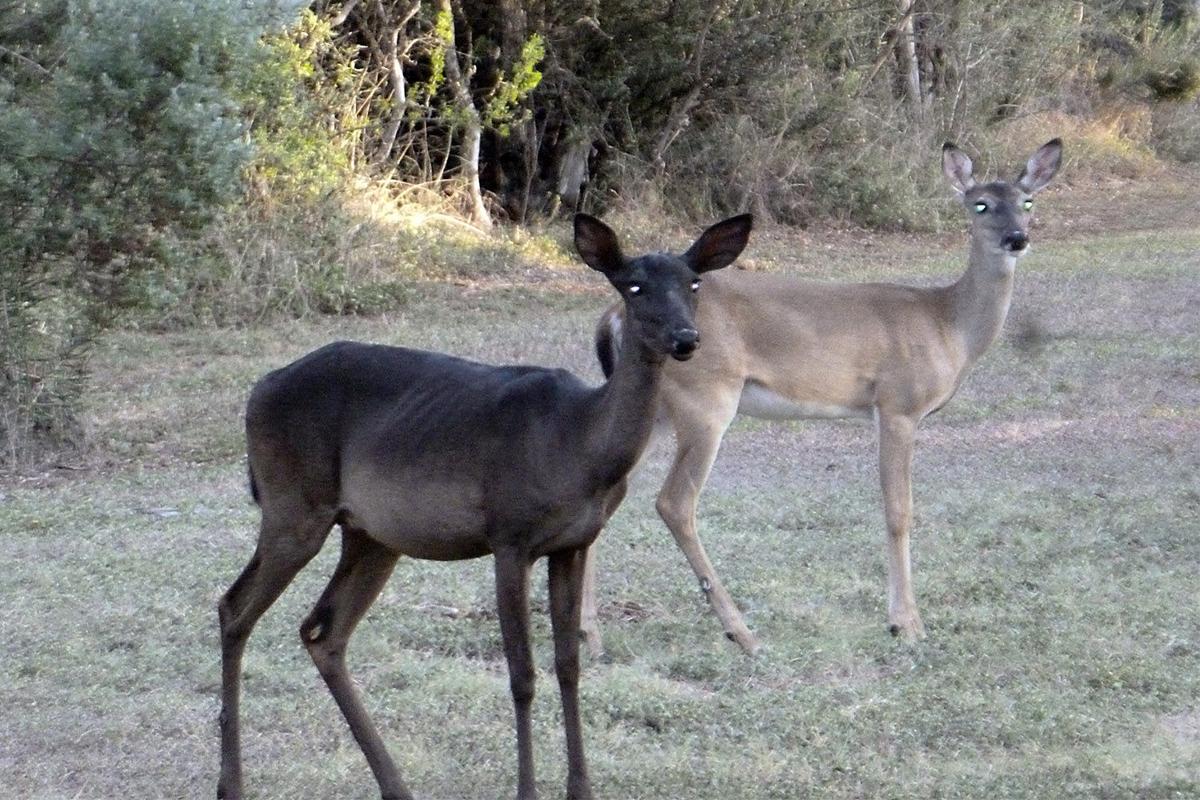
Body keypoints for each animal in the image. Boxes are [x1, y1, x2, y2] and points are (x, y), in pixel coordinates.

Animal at [215, 212, 753, 800]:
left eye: (693, 284)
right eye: (633, 286)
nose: (686, 338)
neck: (580, 447)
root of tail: (257, 391)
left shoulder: (574, 542)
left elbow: (569, 666)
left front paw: (581, 789)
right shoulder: (509, 534)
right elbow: (522, 675)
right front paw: (527, 790)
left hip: (371, 534)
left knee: (323, 631)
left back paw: (395, 785)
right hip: (294, 503)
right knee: (234, 608)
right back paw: (232, 784)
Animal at [579, 139, 1062, 656]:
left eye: (1027, 202)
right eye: (981, 204)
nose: (1016, 238)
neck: (947, 324)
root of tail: (613, 315)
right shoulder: (898, 403)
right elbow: (898, 510)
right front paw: (906, 623)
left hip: (658, 412)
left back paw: (591, 635)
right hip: (706, 400)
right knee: (675, 503)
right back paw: (742, 632)